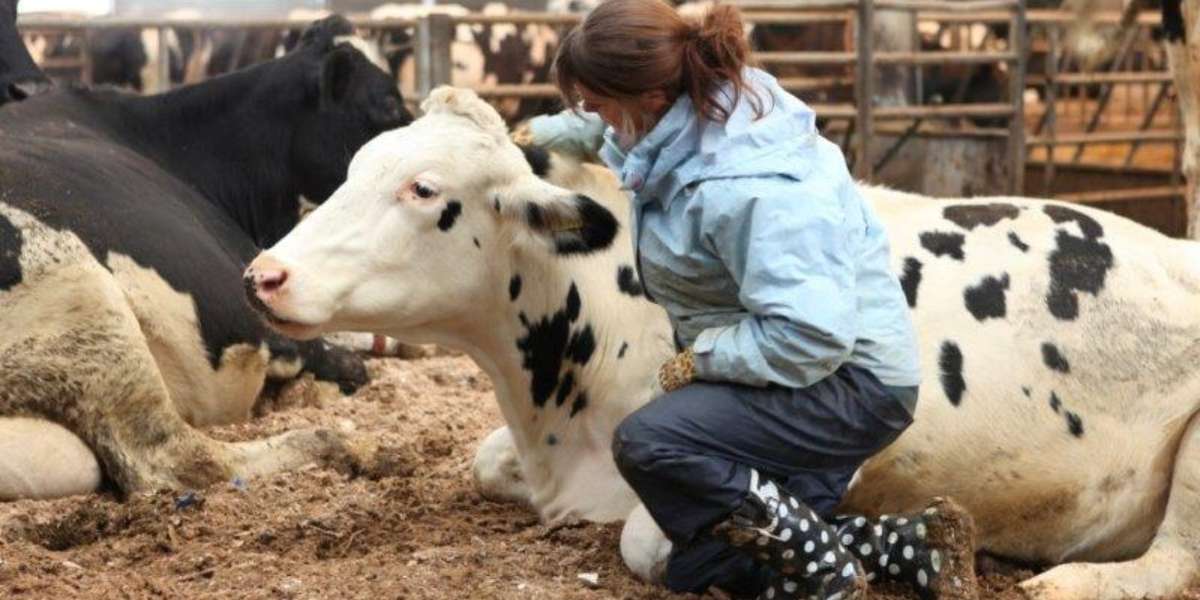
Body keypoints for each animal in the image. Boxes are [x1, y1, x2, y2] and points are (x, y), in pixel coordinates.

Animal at [247, 87, 1200, 599]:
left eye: (423, 188)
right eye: (354, 168)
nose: (265, 273)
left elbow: (662, 539)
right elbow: (484, 460)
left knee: (1172, 560)